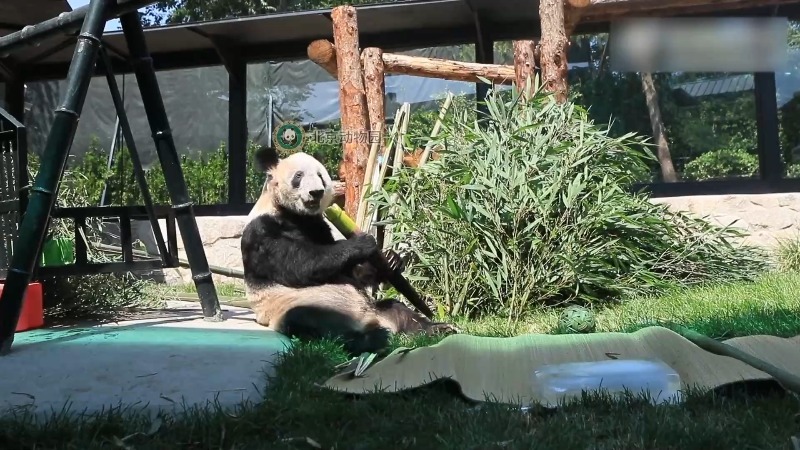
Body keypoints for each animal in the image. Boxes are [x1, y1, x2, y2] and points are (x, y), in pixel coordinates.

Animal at [241, 145, 458, 356]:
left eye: (320, 175)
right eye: (298, 176)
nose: (317, 192)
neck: (294, 215)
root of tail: (371, 322)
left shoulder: (318, 225)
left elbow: (350, 272)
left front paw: (392, 259)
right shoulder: (263, 232)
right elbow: (300, 264)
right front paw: (364, 243)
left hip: (378, 309)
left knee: (399, 309)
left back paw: (436, 328)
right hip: (294, 308)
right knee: (310, 321)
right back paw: (374, 339)